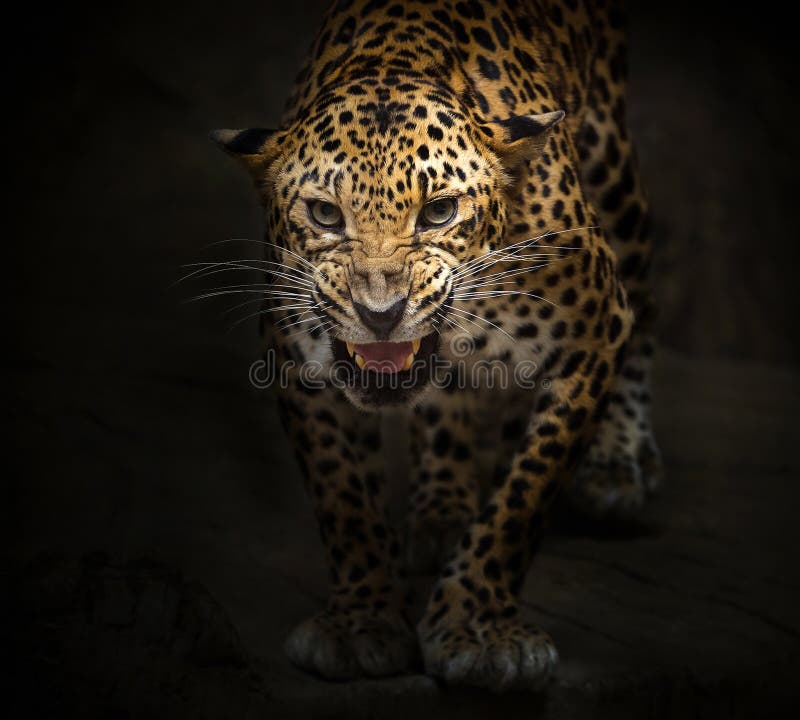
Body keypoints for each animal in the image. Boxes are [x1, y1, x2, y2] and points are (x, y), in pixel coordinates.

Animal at [212, 0, 661, 693]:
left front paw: (478, 627)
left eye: (440, 212)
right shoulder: (297, 355)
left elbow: (523, 494)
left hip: (614, 168)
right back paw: (442, 507)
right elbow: (342, 494)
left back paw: (617, 467)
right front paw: (362, 621)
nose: (380, 314)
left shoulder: (594, 327)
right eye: (324, 215)